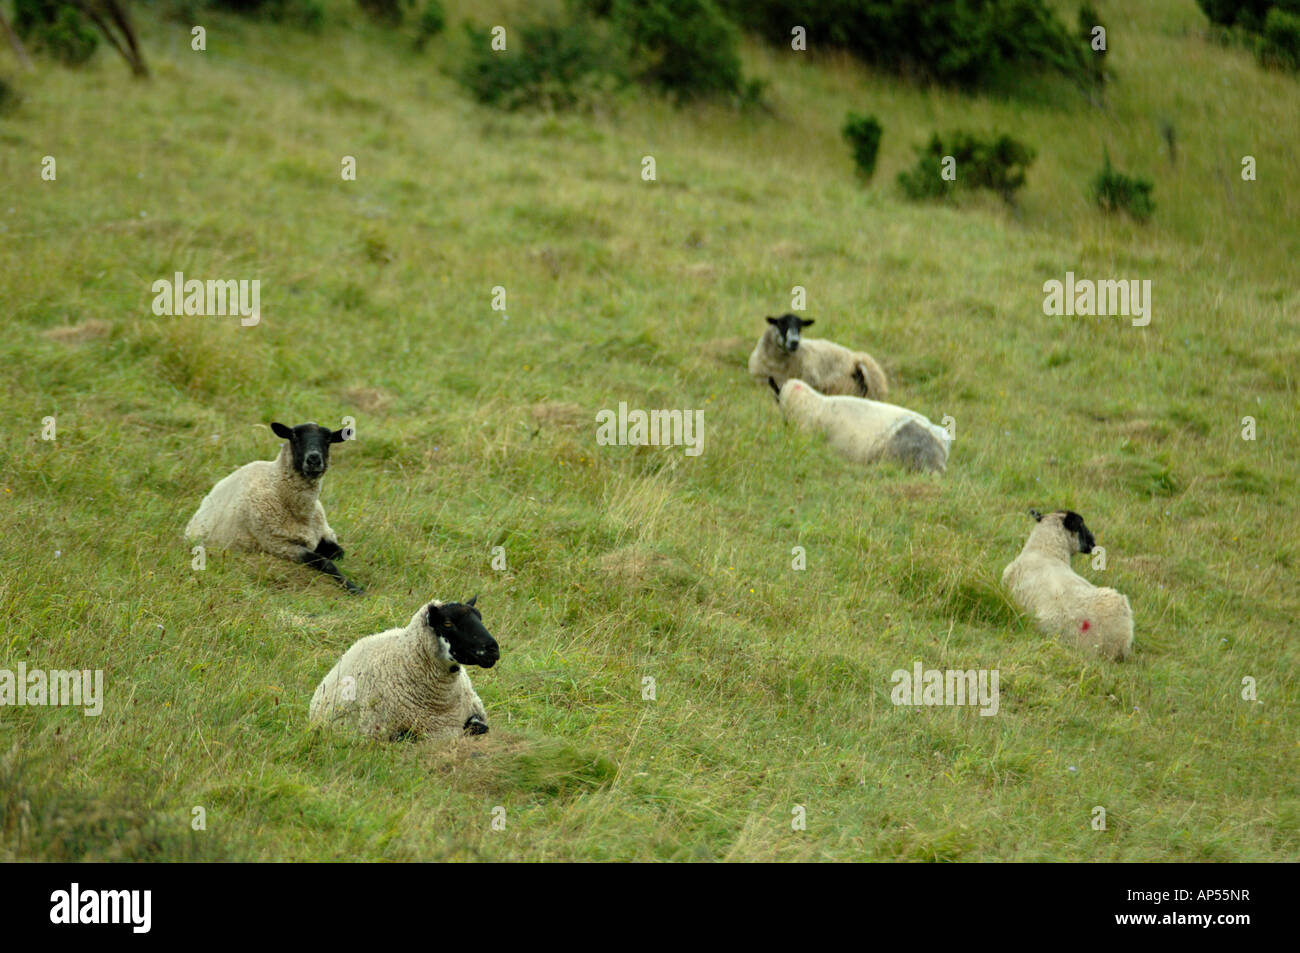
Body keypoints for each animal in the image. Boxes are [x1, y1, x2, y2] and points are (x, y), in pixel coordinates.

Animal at [185, 421, 361, 593]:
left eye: (328, 439)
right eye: (294, 436)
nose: (314, 460)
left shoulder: (324, 532)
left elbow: (339, 552)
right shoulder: (277, 544)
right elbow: (325, 562)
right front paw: (353, 587)